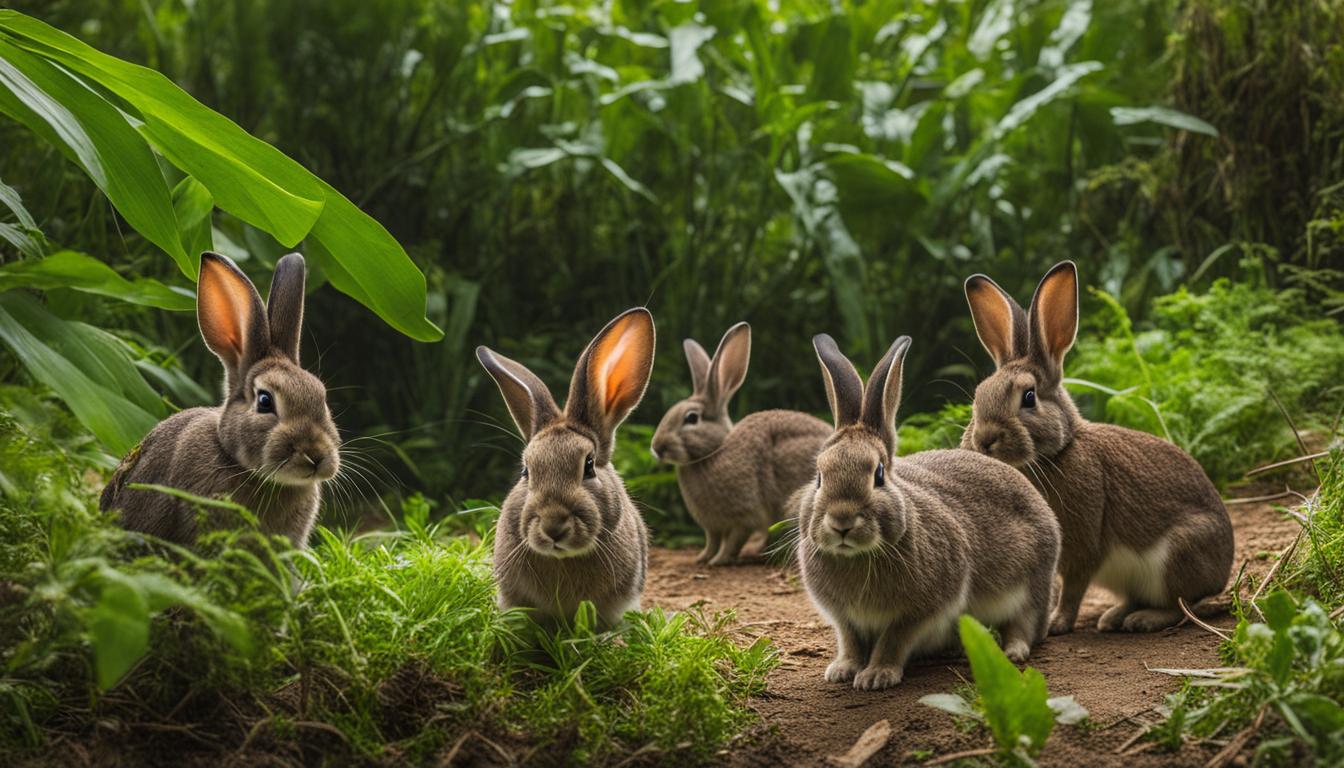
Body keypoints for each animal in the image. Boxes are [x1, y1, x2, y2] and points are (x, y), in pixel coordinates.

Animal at [650, 322, 831, 565]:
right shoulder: (712, 526)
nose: (657, 448)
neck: (712, 453)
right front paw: (702, 558)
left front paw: (719, 561)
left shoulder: (744, 515)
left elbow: (733, 540)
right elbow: (712, 541)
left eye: (691, 418)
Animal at [794, 334, 1060, 691]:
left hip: (1030, 584)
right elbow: (849, 641)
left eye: (879, 475)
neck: (859, 556)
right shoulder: (844, 619)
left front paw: (877, 675)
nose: (841, 522)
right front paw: (843, 669)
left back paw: (1013, 652)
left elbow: (893, 640)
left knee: (1024, 624)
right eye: (820, 476)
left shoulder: (920, 612)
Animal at [961, 261, 1234, 634]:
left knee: (1182, 604)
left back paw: (1143, 620)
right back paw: (1113, 617)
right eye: (978, 395)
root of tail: (1224, 569)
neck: (1058, 451)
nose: (985, 439)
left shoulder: (1080, 547)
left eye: (1029, 397)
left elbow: (1072, 588)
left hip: (1177, 555)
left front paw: (1056, 624)